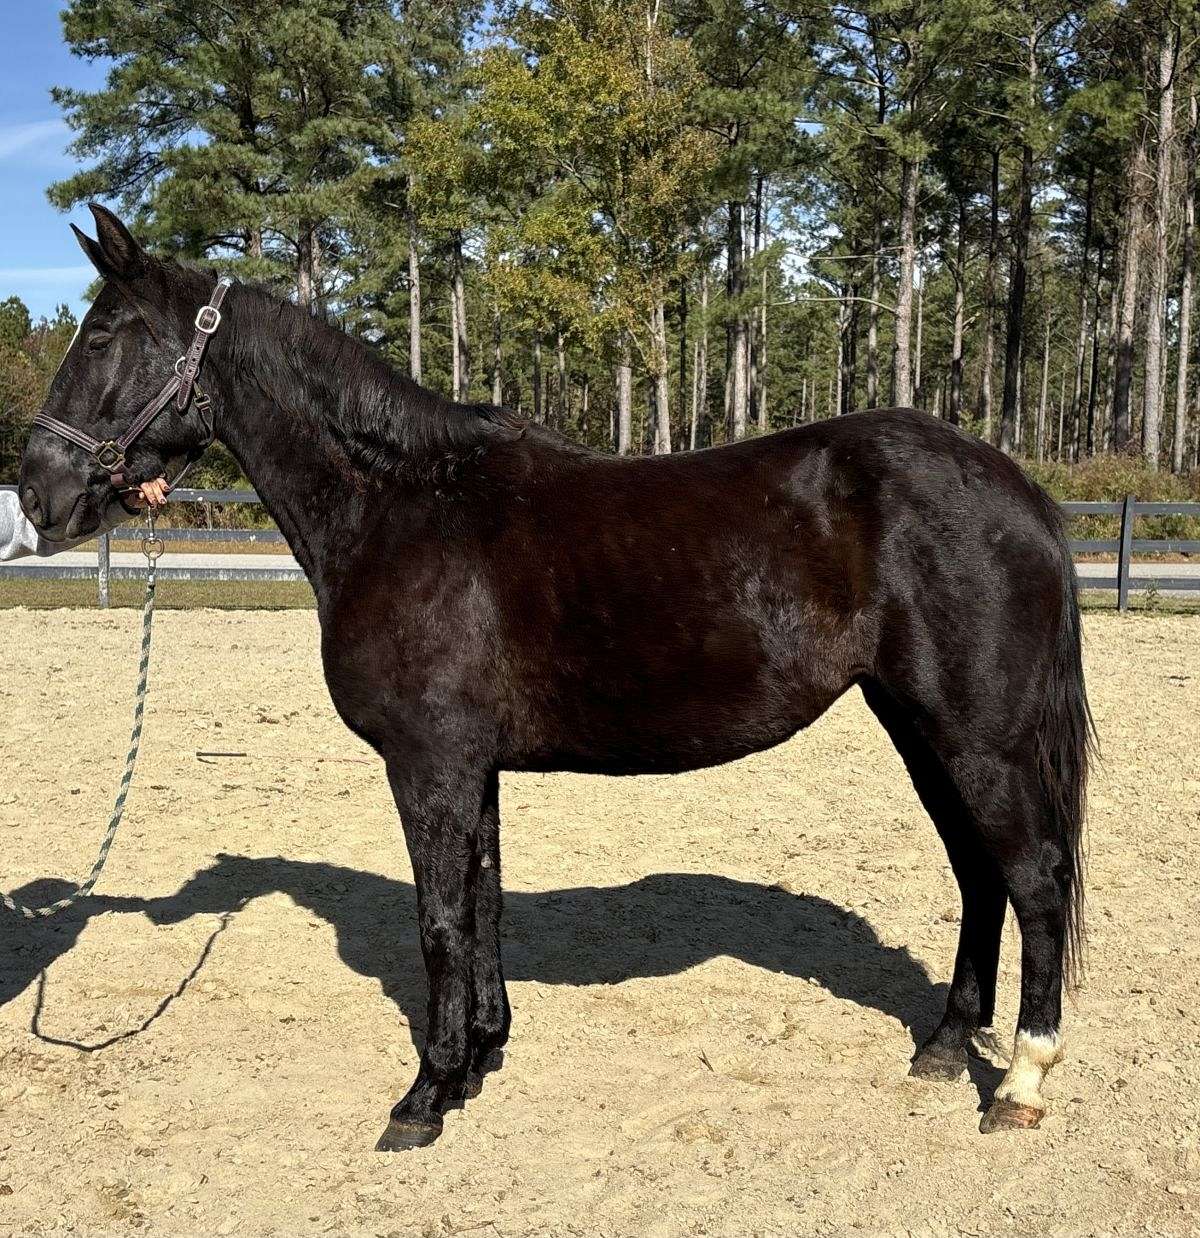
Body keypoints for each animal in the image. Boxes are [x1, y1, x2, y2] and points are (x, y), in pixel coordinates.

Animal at [19, 206, 1091, 1150]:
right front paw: (478, 1058)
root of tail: (1022, 490)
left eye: (104, 335)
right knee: (979, 873)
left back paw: (1022, 1083)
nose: (37, 494)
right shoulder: (470, 766)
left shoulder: (430, 763)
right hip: (919, 726)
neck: (401, 508)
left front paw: (423, 1097)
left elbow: (440, 919)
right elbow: (483, 903)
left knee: (1034, 876)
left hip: (977, 735)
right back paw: (946, 1047)